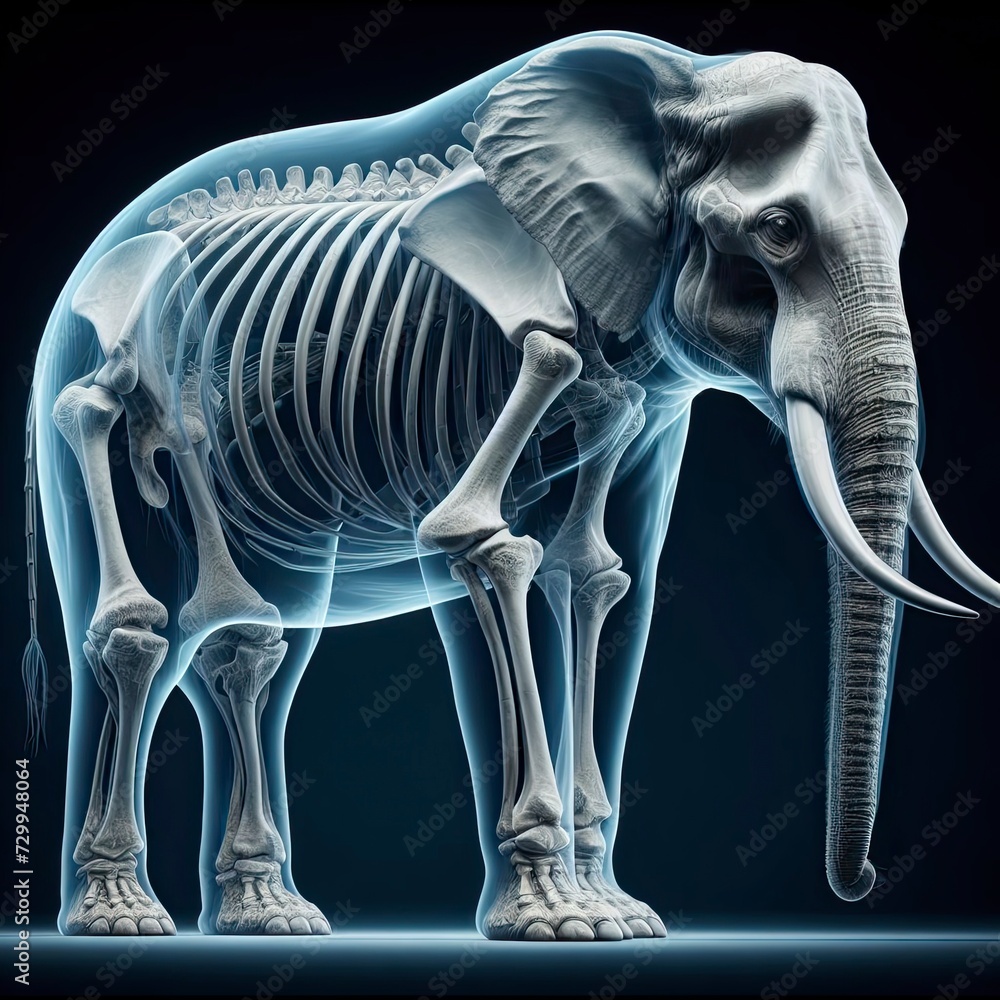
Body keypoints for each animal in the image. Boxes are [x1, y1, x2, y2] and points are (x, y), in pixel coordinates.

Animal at [23, 29, 999, 941]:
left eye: (902, 229)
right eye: (780, 229)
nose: (860, 882)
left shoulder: (631, 411)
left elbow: (594, 574)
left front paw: (608, 901)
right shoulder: (482, 429)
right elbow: (485, 540)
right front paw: (548, 906)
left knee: (246, 637)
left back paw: (264, 908)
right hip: (98, 405)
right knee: (137, 611)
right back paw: (115, 907)